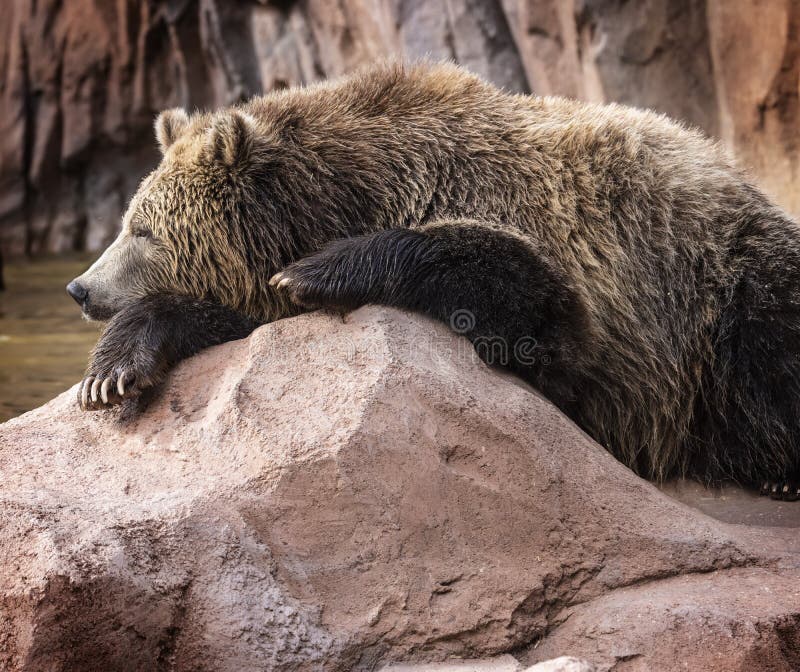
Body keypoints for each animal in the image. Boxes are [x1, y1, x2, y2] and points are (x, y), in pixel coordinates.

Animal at [65, 60, 800, 498]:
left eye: (143, 230)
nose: (80, 288)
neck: (344, 195)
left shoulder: (570, 260)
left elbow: (534, 314)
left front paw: (320, 270)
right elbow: (235, 315)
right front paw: (112, 373)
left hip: (725, 283)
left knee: (766, 346)